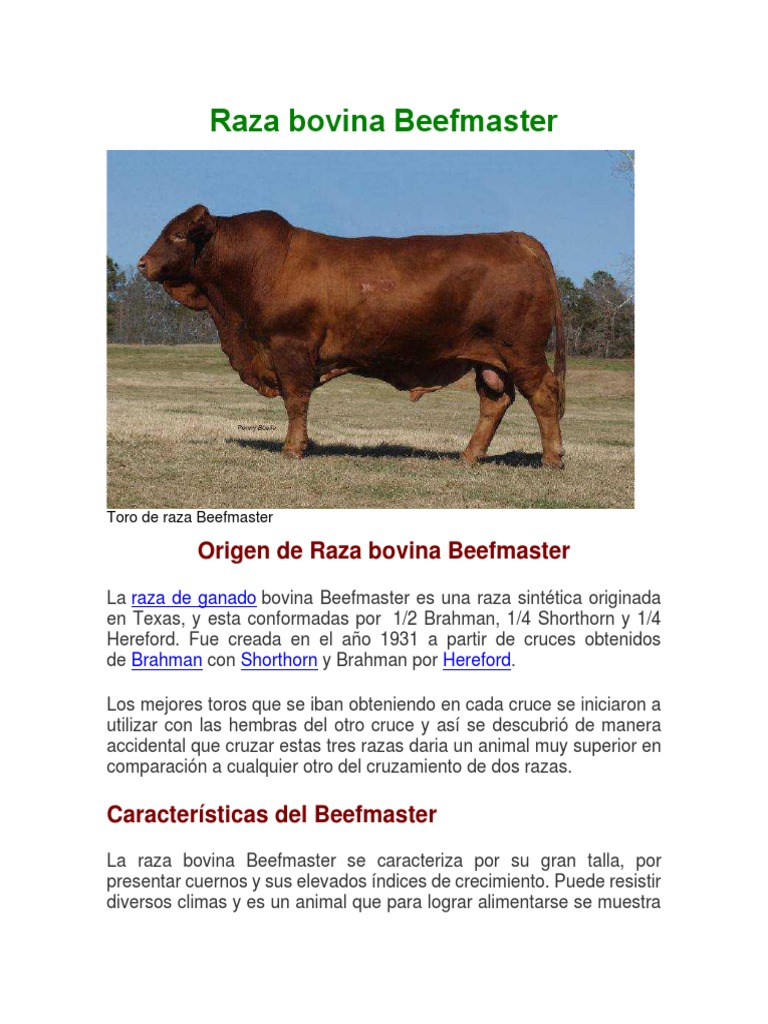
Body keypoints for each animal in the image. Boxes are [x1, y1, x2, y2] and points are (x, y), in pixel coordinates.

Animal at [138, 205, 566, 467]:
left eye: (178, 236)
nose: (142, 264)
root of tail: (517, 238)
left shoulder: (289, 346)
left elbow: (296, 400)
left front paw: (292, 450)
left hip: (522, 351)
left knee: (544, 395)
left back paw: (552, 458)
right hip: (490, 360)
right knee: (495, 401)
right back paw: (469, 456)